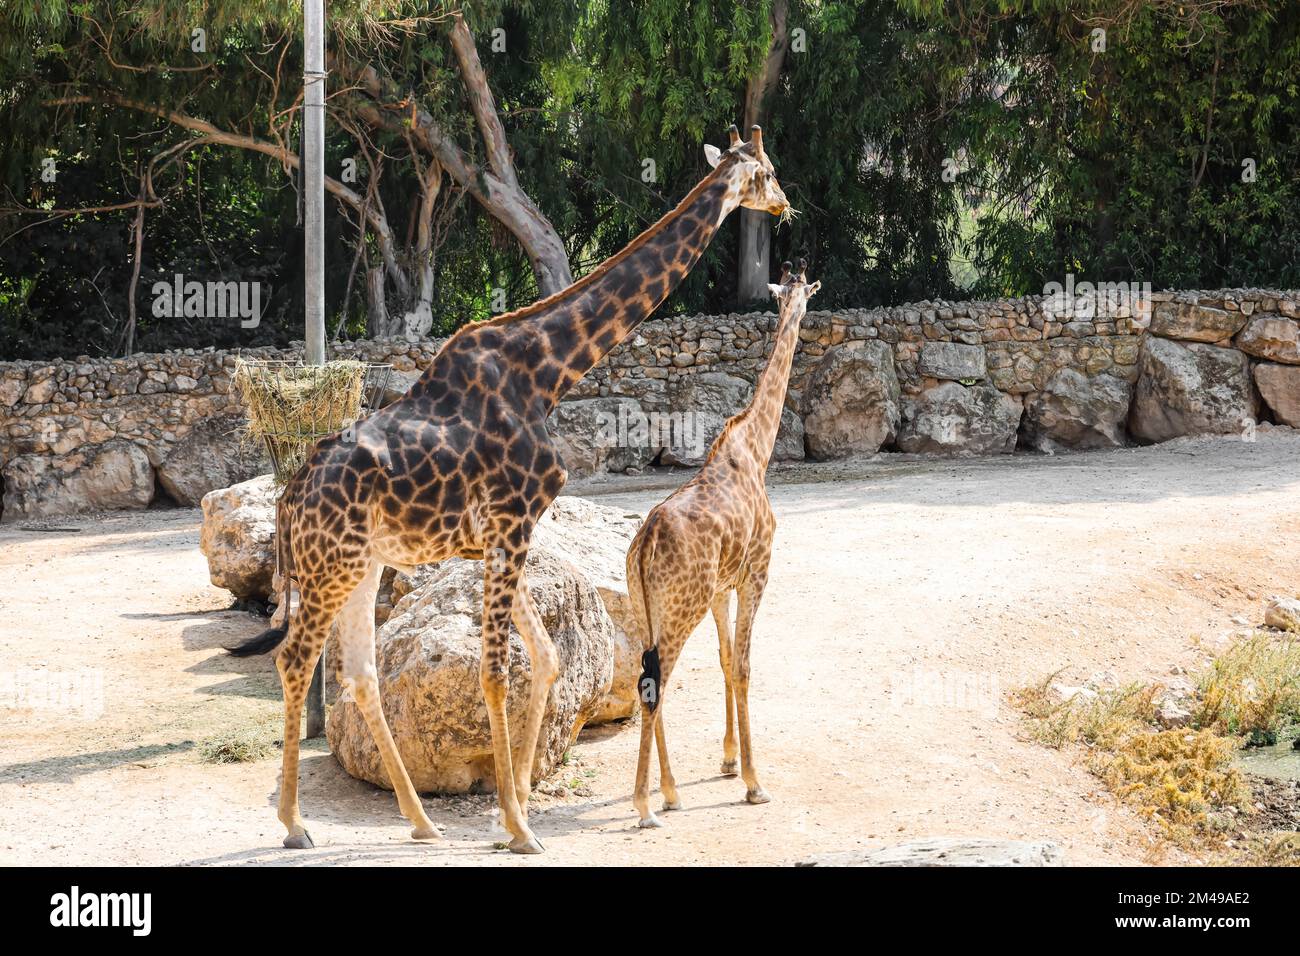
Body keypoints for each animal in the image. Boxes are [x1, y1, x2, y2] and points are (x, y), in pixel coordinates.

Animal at [228, 125, 791, 854]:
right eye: (768, 172)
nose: (785, 207)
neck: (548, 372)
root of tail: (289, 496)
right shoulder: (512, 523)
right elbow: (498, 673)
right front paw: (520, 827)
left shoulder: (502, 535)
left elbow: (545, 658)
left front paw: (513, 805)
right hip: (331, 568)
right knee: (296, 661)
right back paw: (296, 824)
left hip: (361, 565)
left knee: (359, 674)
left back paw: (422, 821)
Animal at [624, 259, 820, 828]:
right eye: (801, 296)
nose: (801, 314)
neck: (756, 449)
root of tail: (645, 544)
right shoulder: (757, 572)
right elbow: (746, 665)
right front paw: (755, 781)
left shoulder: (720, 589)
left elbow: (726, 659)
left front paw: (730, 761)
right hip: (679, 606)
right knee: (656, 682)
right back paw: (646, 805)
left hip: (647, 607)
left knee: (647, 679)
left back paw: (669, 792)